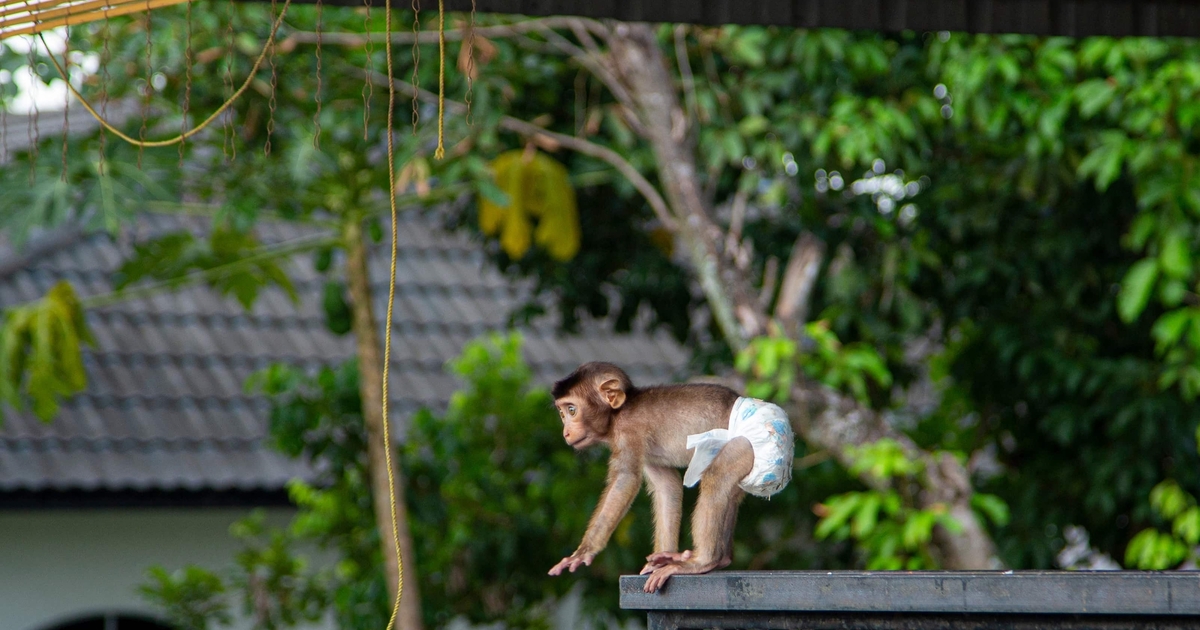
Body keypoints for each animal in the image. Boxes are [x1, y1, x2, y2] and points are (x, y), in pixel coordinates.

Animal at [546, 362, 794, 593]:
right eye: (562, 413)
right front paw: (661, 558)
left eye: (572, 410)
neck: (617, 414)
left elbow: (626, 480)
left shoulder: (628, 431)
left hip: (752, 445)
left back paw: (702, 561)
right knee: (728, 492)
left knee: (717, 477)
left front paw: (584, 551)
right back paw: (716, 559)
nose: (565, 432)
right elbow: (667, 486)